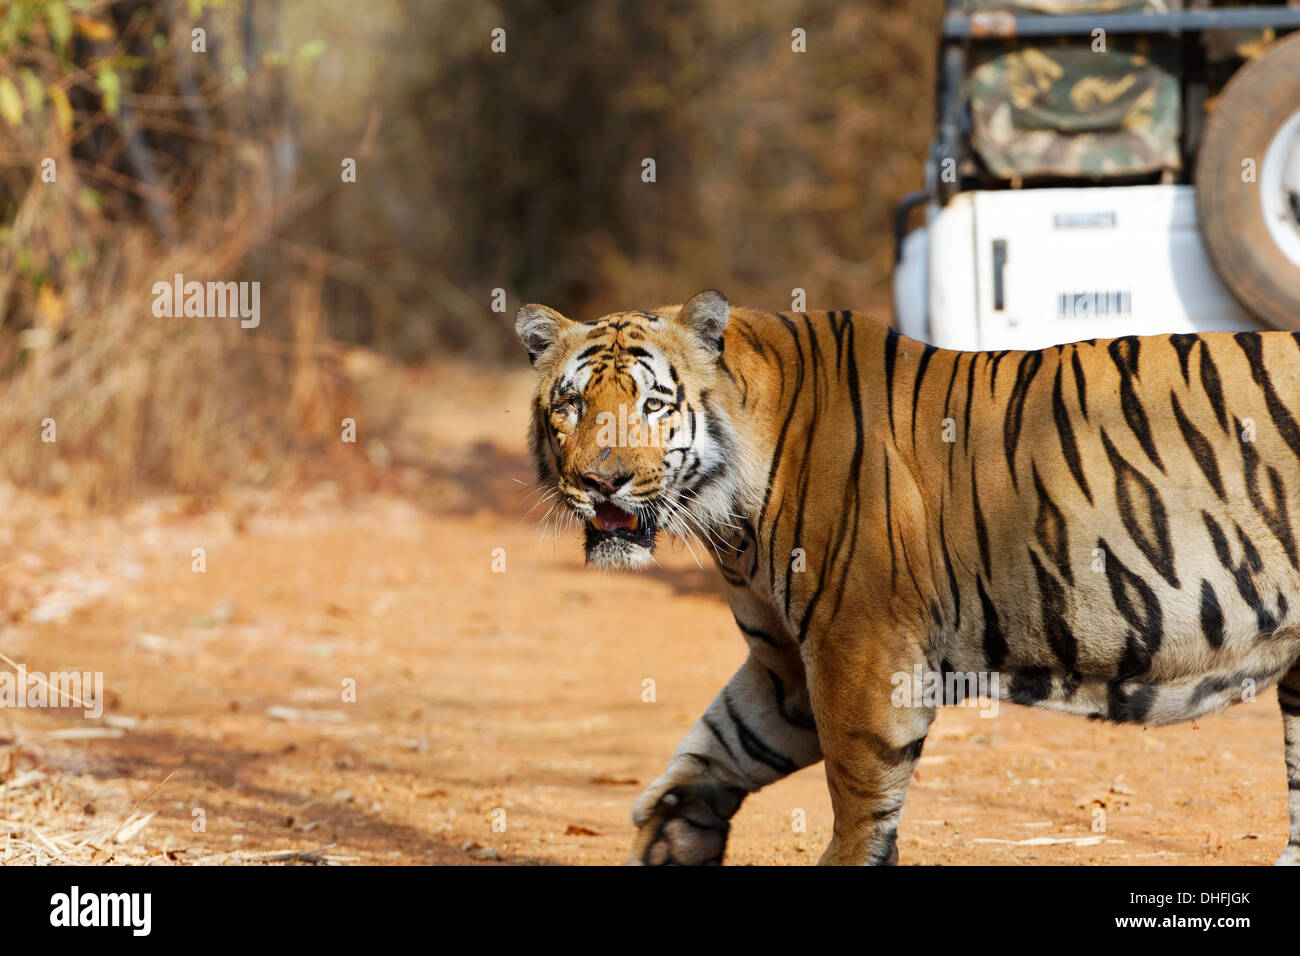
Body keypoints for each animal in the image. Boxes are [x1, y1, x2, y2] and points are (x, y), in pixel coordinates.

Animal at [515, 289, 1300, 866]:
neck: (728, 518)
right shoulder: (785, 665)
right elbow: (719, 743)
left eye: (652, 404)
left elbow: (858, 793)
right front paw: (674, 834)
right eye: (571, 404)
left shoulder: (858, 647)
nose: (603, 482)